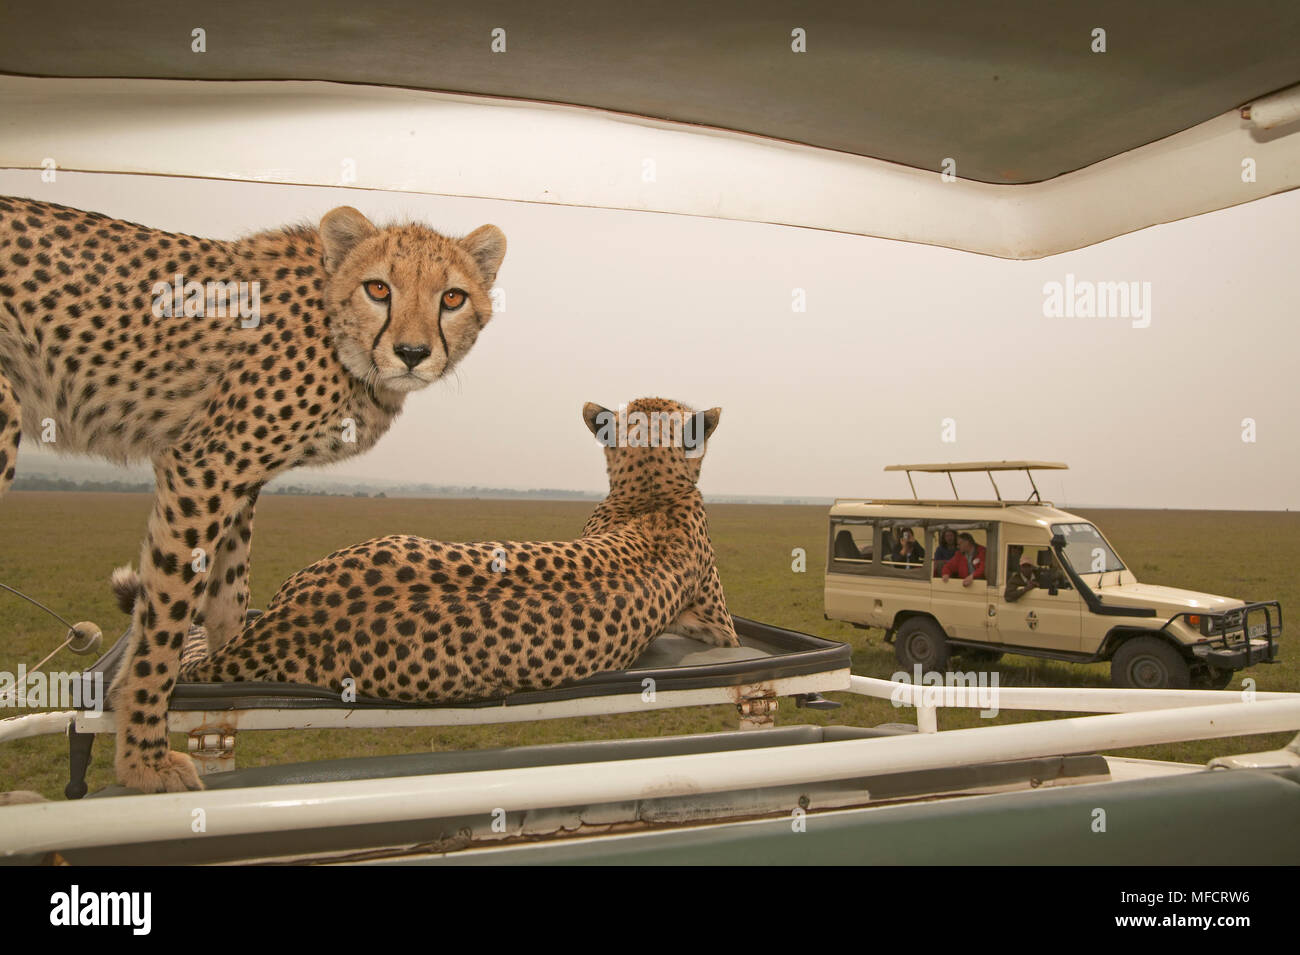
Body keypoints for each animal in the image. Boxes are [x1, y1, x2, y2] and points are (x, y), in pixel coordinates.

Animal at [0, 195, 507, 791]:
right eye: (378, 288)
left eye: (452, 297)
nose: (411, 352)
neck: (338, 334)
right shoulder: (204, 465)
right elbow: (165, 619)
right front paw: (143, 760)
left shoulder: (235, 482)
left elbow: (227, 597)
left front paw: (225, 676)